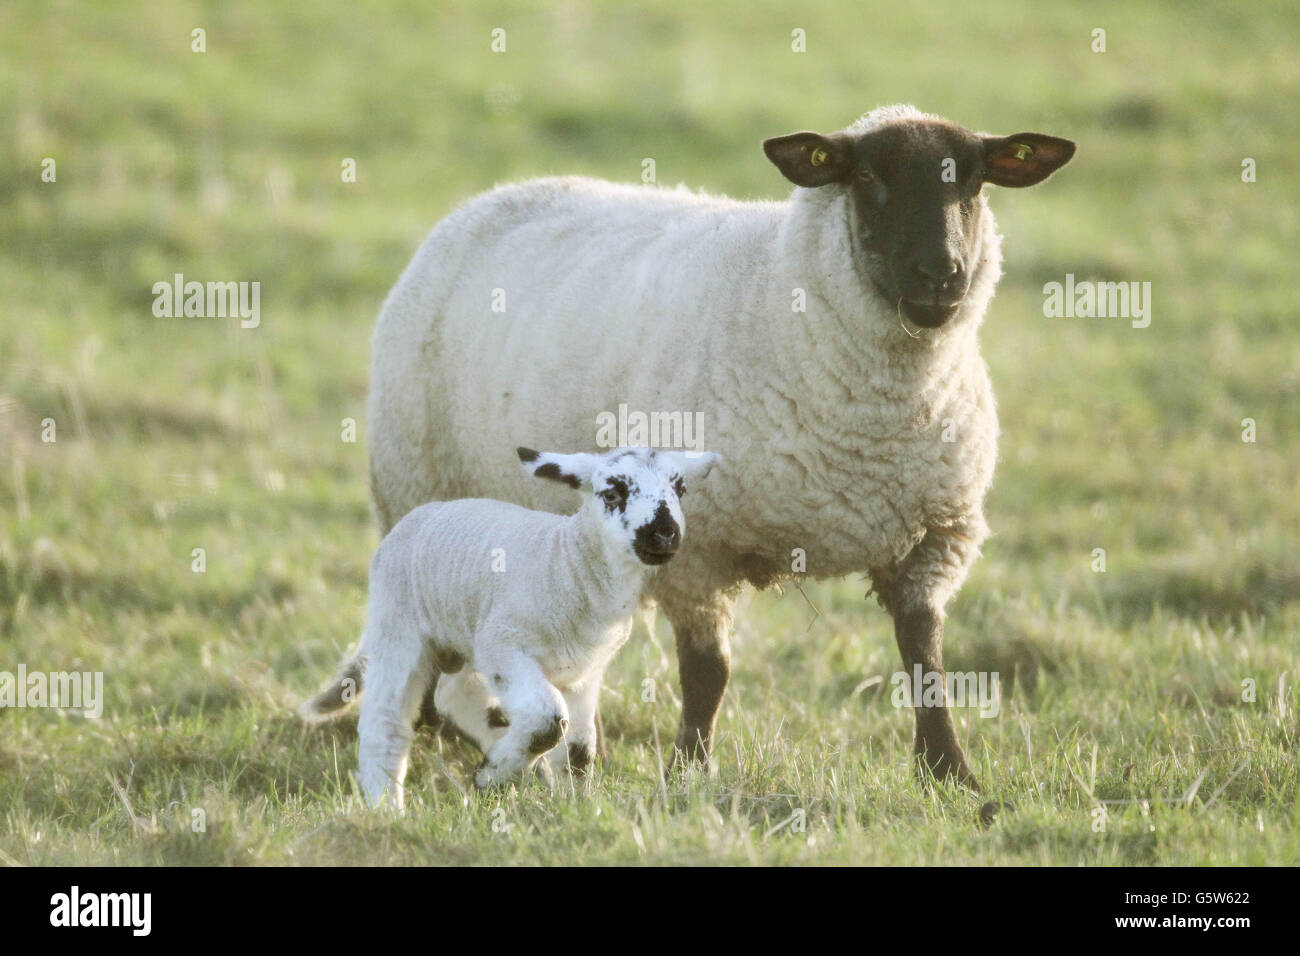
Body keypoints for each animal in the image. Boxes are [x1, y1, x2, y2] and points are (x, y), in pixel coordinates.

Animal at [301, 445, 718, 808]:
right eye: (612, 492)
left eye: (680, 488)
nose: (664, 533)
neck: (569, 563)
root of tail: (417, 517)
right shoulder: (505, 645)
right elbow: (549, 721)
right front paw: (490, 777)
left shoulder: (585, 672)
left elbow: (579, 750)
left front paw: (571, 803)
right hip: (398, 624)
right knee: (386, 721)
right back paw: (385, 807)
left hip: (462, 639)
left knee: (455, 694)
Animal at [363, 104, 1076, 790]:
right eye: (870, 177)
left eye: (975, 181)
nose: (940, 274)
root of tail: (495, 195)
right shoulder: (695, 550)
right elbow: (708, 672)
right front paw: (687, 773)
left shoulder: (932, 539)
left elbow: (924, 657)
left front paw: (951, 775)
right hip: (417, 493)